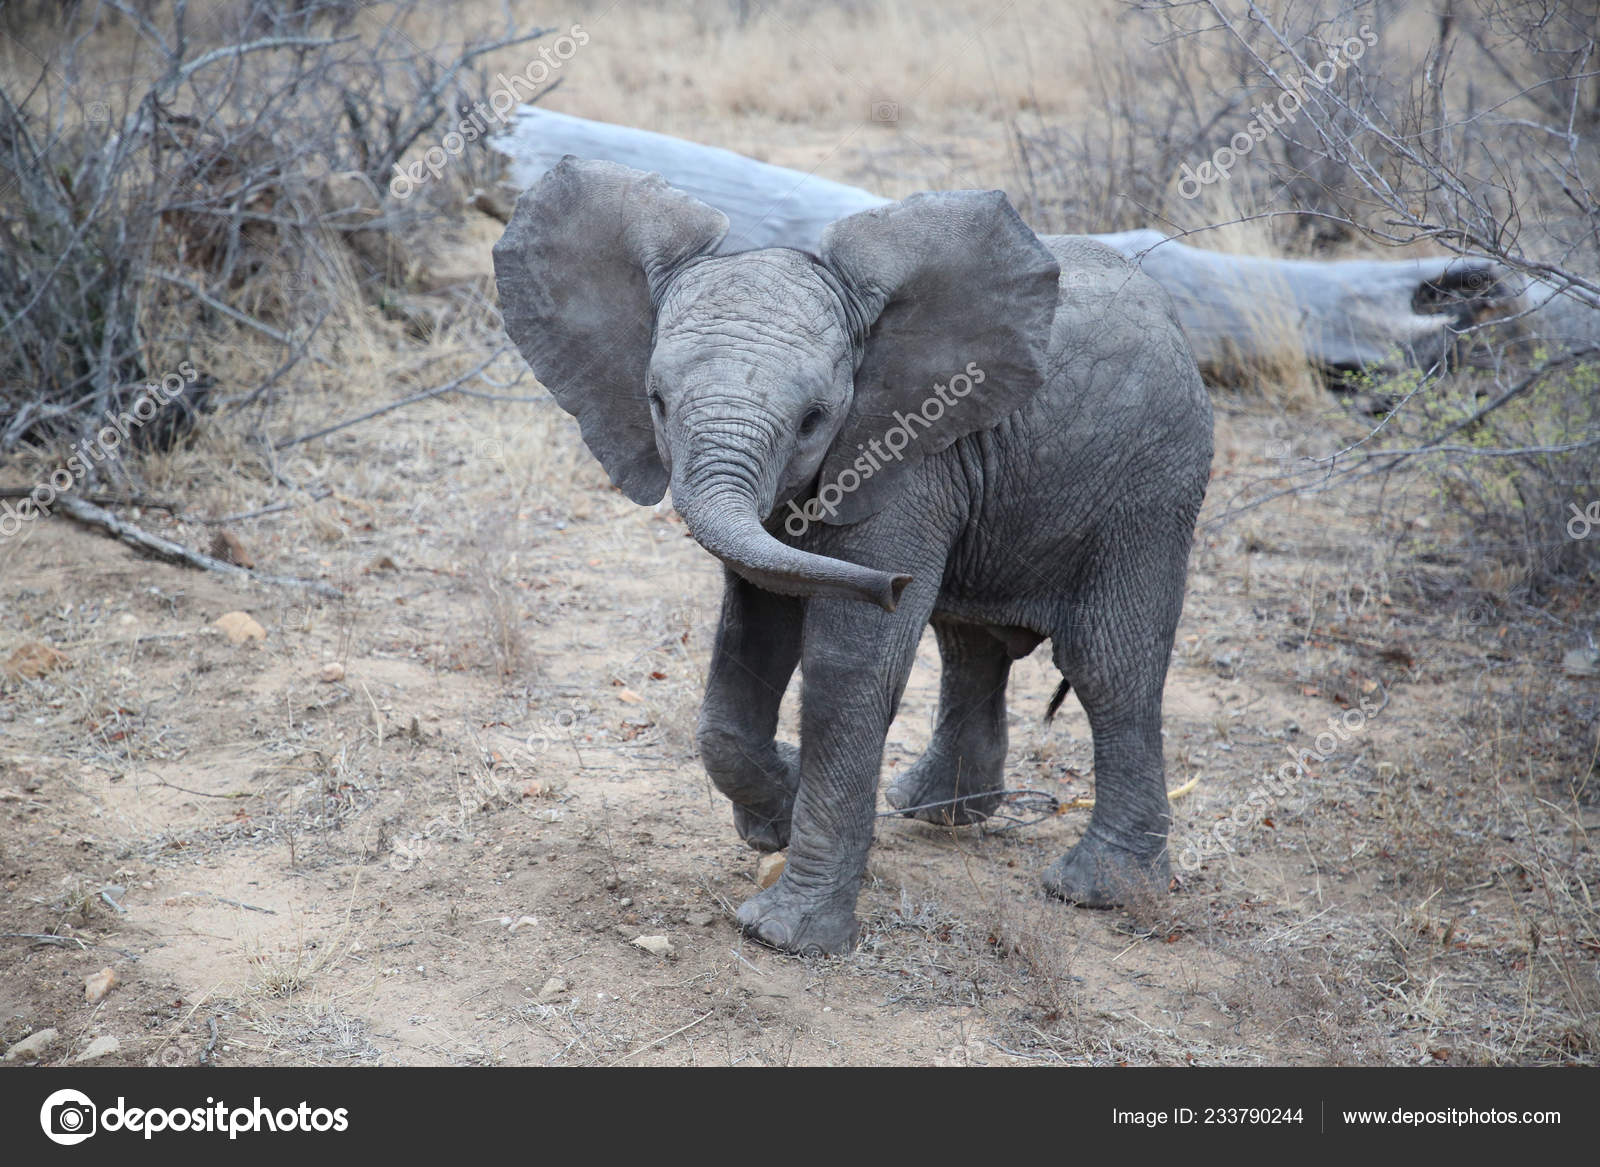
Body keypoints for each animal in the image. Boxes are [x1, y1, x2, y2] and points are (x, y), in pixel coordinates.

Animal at [493, 157, 1213, 955]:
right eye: (655, 402)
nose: (894, 584)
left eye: (814, 419)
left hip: (1150, 485)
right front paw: (774, 818)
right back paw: (933, 811)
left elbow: (849, 664)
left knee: (1108, 666)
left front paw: (785, 935)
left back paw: (1096, 891)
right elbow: (752, 633)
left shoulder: (909, 455)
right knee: (969, 643)